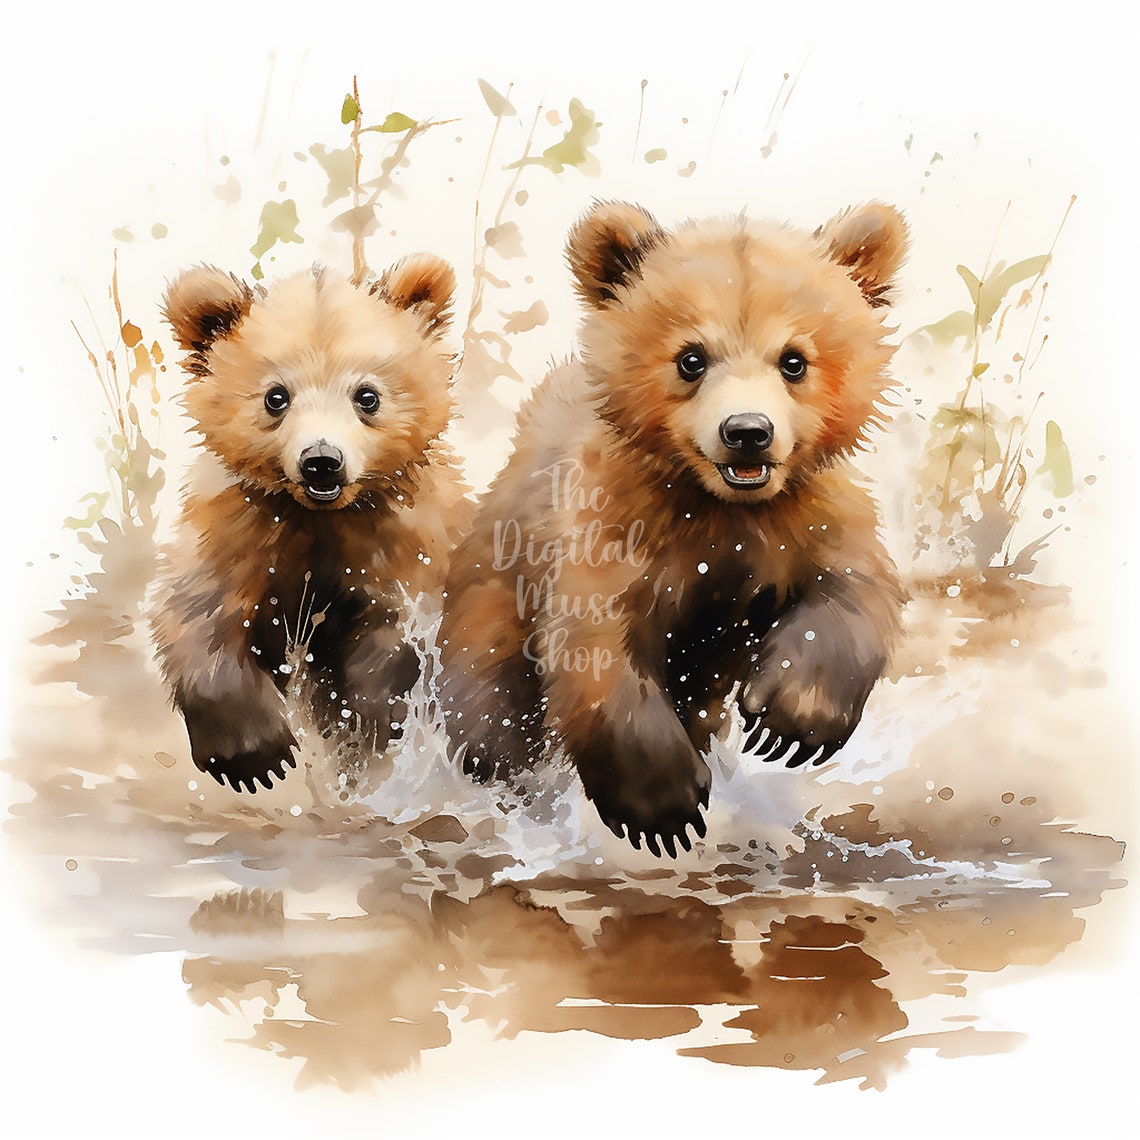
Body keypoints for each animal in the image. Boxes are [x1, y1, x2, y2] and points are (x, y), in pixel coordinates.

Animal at [152, 258, 471, 792]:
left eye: (367, 396)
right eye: (276, 396)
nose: (322, 461)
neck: (320, 517)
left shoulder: (403, 537)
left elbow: (398, 631)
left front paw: (364, 724)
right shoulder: (239, 529)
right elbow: (200, 615)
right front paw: (256, 756)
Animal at [438, 200, 908, 857]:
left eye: (794, 359)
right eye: (691, 357)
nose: (747, 431)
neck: (721, 505)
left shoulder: (806, 517)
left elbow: (853, 591)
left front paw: (789, 721)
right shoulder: (616, 526)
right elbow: (594, 645)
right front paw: (664, 810)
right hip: (497, 577)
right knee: (492, 695)